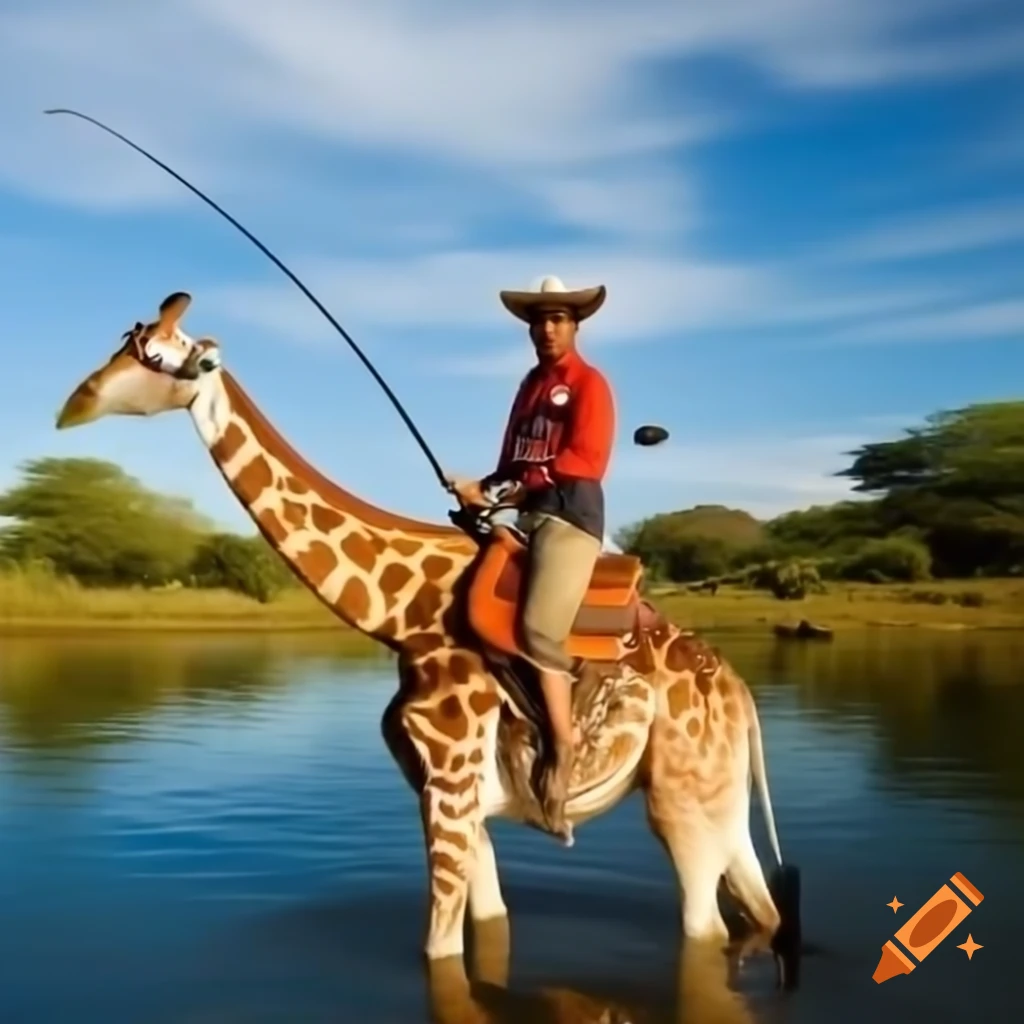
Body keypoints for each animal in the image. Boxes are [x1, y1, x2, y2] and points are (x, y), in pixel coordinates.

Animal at [54, 293, 796, 969]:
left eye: (159, 355)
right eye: (124, 342)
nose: (72, 407)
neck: (397, 615)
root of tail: (741, 697)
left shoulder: (450, 780)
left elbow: (438, 949)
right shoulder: (447, 794)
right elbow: (488, 923)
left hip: (682, 801)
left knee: (707, 927)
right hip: (718, 801)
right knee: (764, 909)